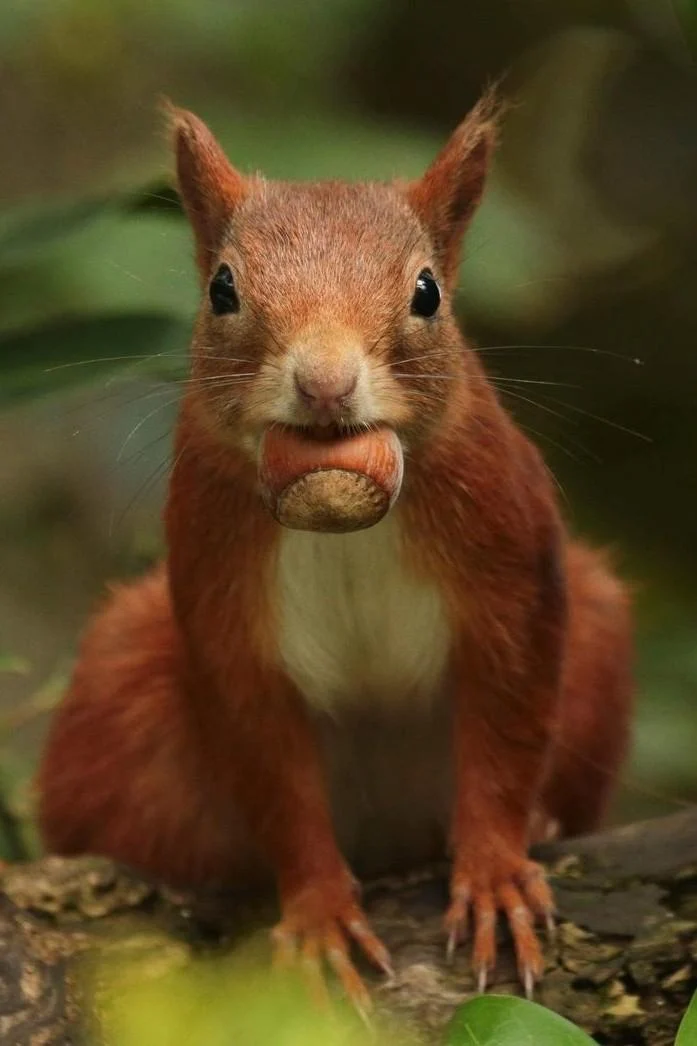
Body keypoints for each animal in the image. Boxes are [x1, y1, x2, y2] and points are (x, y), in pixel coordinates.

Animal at [36, 95, 633, 1010]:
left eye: (427, 292)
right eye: (221, 289)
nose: (323, 383)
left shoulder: (510, 553)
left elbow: (509, 717)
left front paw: (496, 871)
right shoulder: (218, 584)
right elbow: (268, 762)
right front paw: (317, 912)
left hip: (595, 629)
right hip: (118, 679)